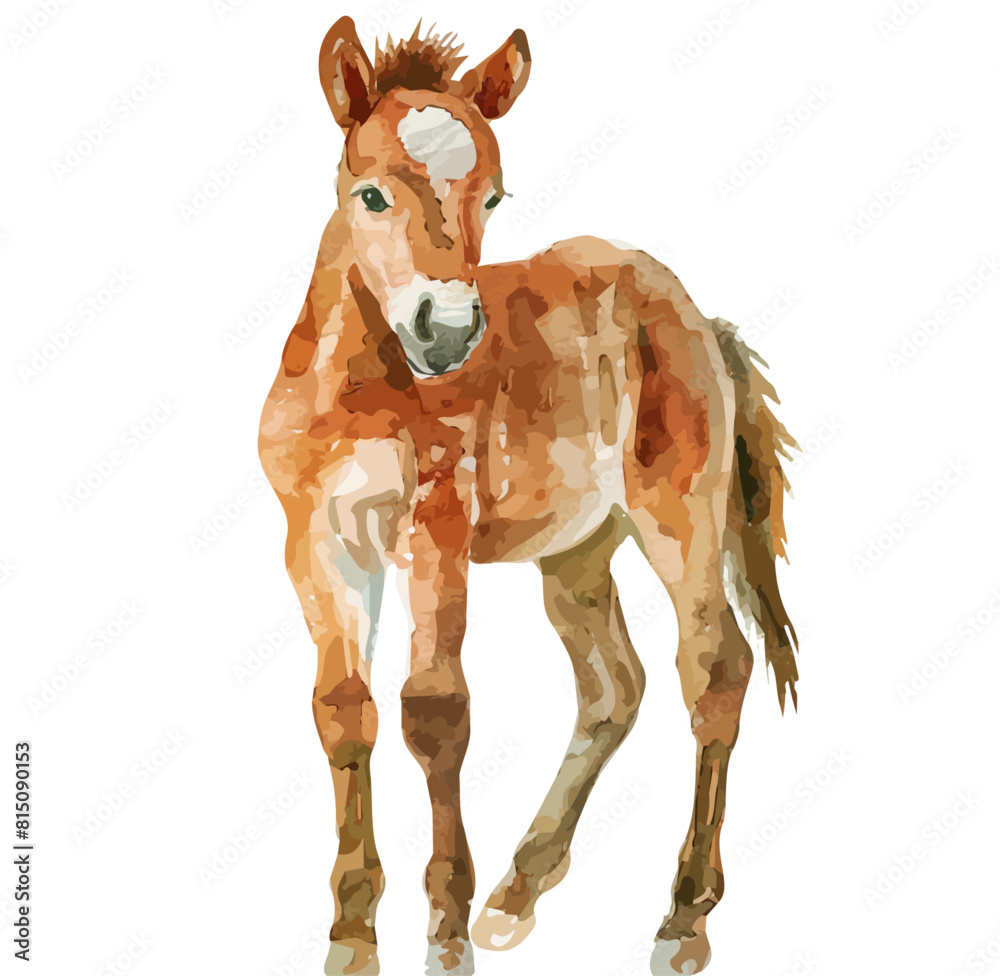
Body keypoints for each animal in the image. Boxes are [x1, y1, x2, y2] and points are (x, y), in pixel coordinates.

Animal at [257, 18, 798, 976]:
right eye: (370, 194)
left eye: (496, 198)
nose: (446, 335)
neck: (357, 388)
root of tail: (695, 314)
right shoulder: (319, 541)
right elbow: (343, 711)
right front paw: (353, 935)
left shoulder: (434, 527)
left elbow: (434, 709)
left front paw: (442, 934)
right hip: (576, 551)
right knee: (614, 686)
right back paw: (517, 893)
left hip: (678, 518)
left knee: (714, 669)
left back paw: (683, 918)